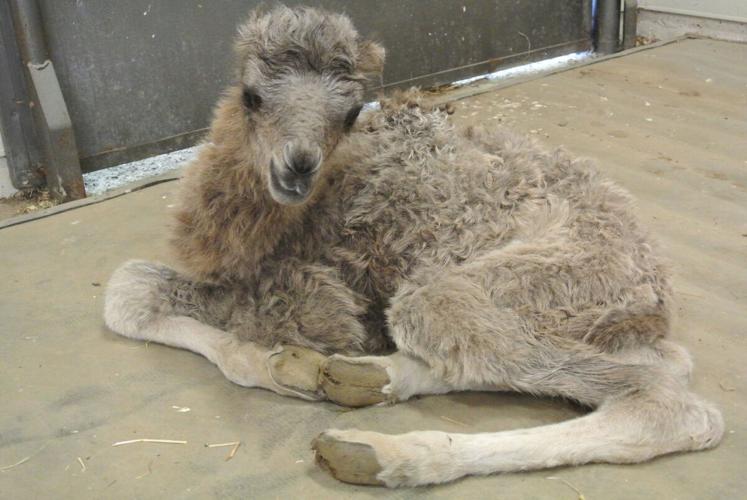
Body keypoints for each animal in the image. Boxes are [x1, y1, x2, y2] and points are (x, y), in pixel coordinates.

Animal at [104, 6, 723, 487]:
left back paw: (374, 452)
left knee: (668, 399)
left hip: (512, 283)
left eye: (351, 112)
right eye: (252, 96)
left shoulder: (311, 292)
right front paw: (302, 368)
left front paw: (280, 367)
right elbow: (130, 292)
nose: (297, 167)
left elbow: (128, 293)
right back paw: (361, 381)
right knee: (667, 362)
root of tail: (654, 282)